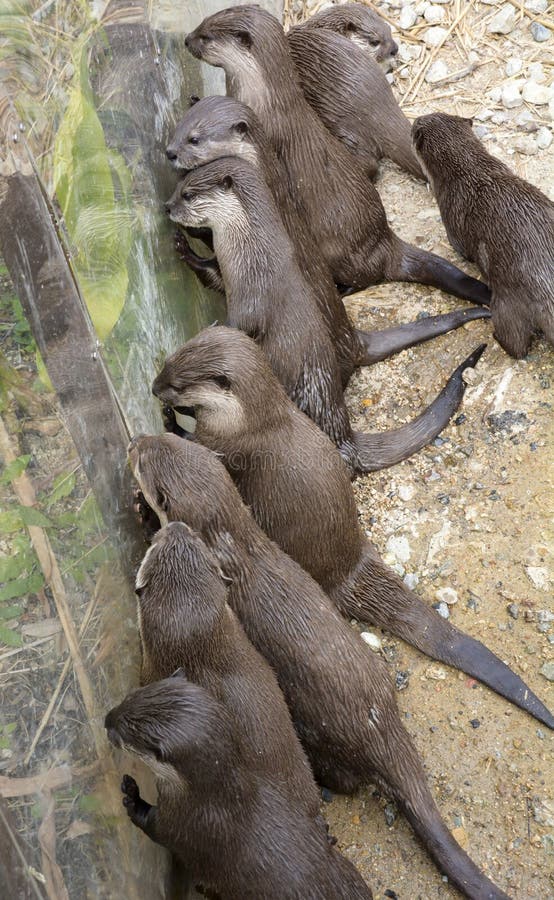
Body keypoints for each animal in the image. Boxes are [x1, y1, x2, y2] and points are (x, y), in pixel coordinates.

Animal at [106, 676, 373, 899]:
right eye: (130, 697)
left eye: (126, 731)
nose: (107, 719)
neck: (210, 799)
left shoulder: (183, 823)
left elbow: (152, 826)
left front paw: (132, 796)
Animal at [152, 325, 554, 732]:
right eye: (167, 364)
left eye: (178, 384)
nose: (154, 388)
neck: (253, 419)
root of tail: (349, 567)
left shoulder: (226, 444)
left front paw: (172, 423)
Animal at [163, 157, 486, 474]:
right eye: (178, 186)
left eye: (188, 194)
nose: (167, 206)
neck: (252, 253)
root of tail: (345, 438)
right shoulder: (226, 274)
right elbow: (211, 275)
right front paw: (187, 251)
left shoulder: (255, 296)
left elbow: (240, 329)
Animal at [412, 113, 554, 359]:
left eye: (413, 127)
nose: (415, 118)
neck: (470, 170)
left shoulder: (450, 215)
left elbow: (461, 248)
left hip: (508, 302)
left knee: (516, 344)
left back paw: (497, 338)